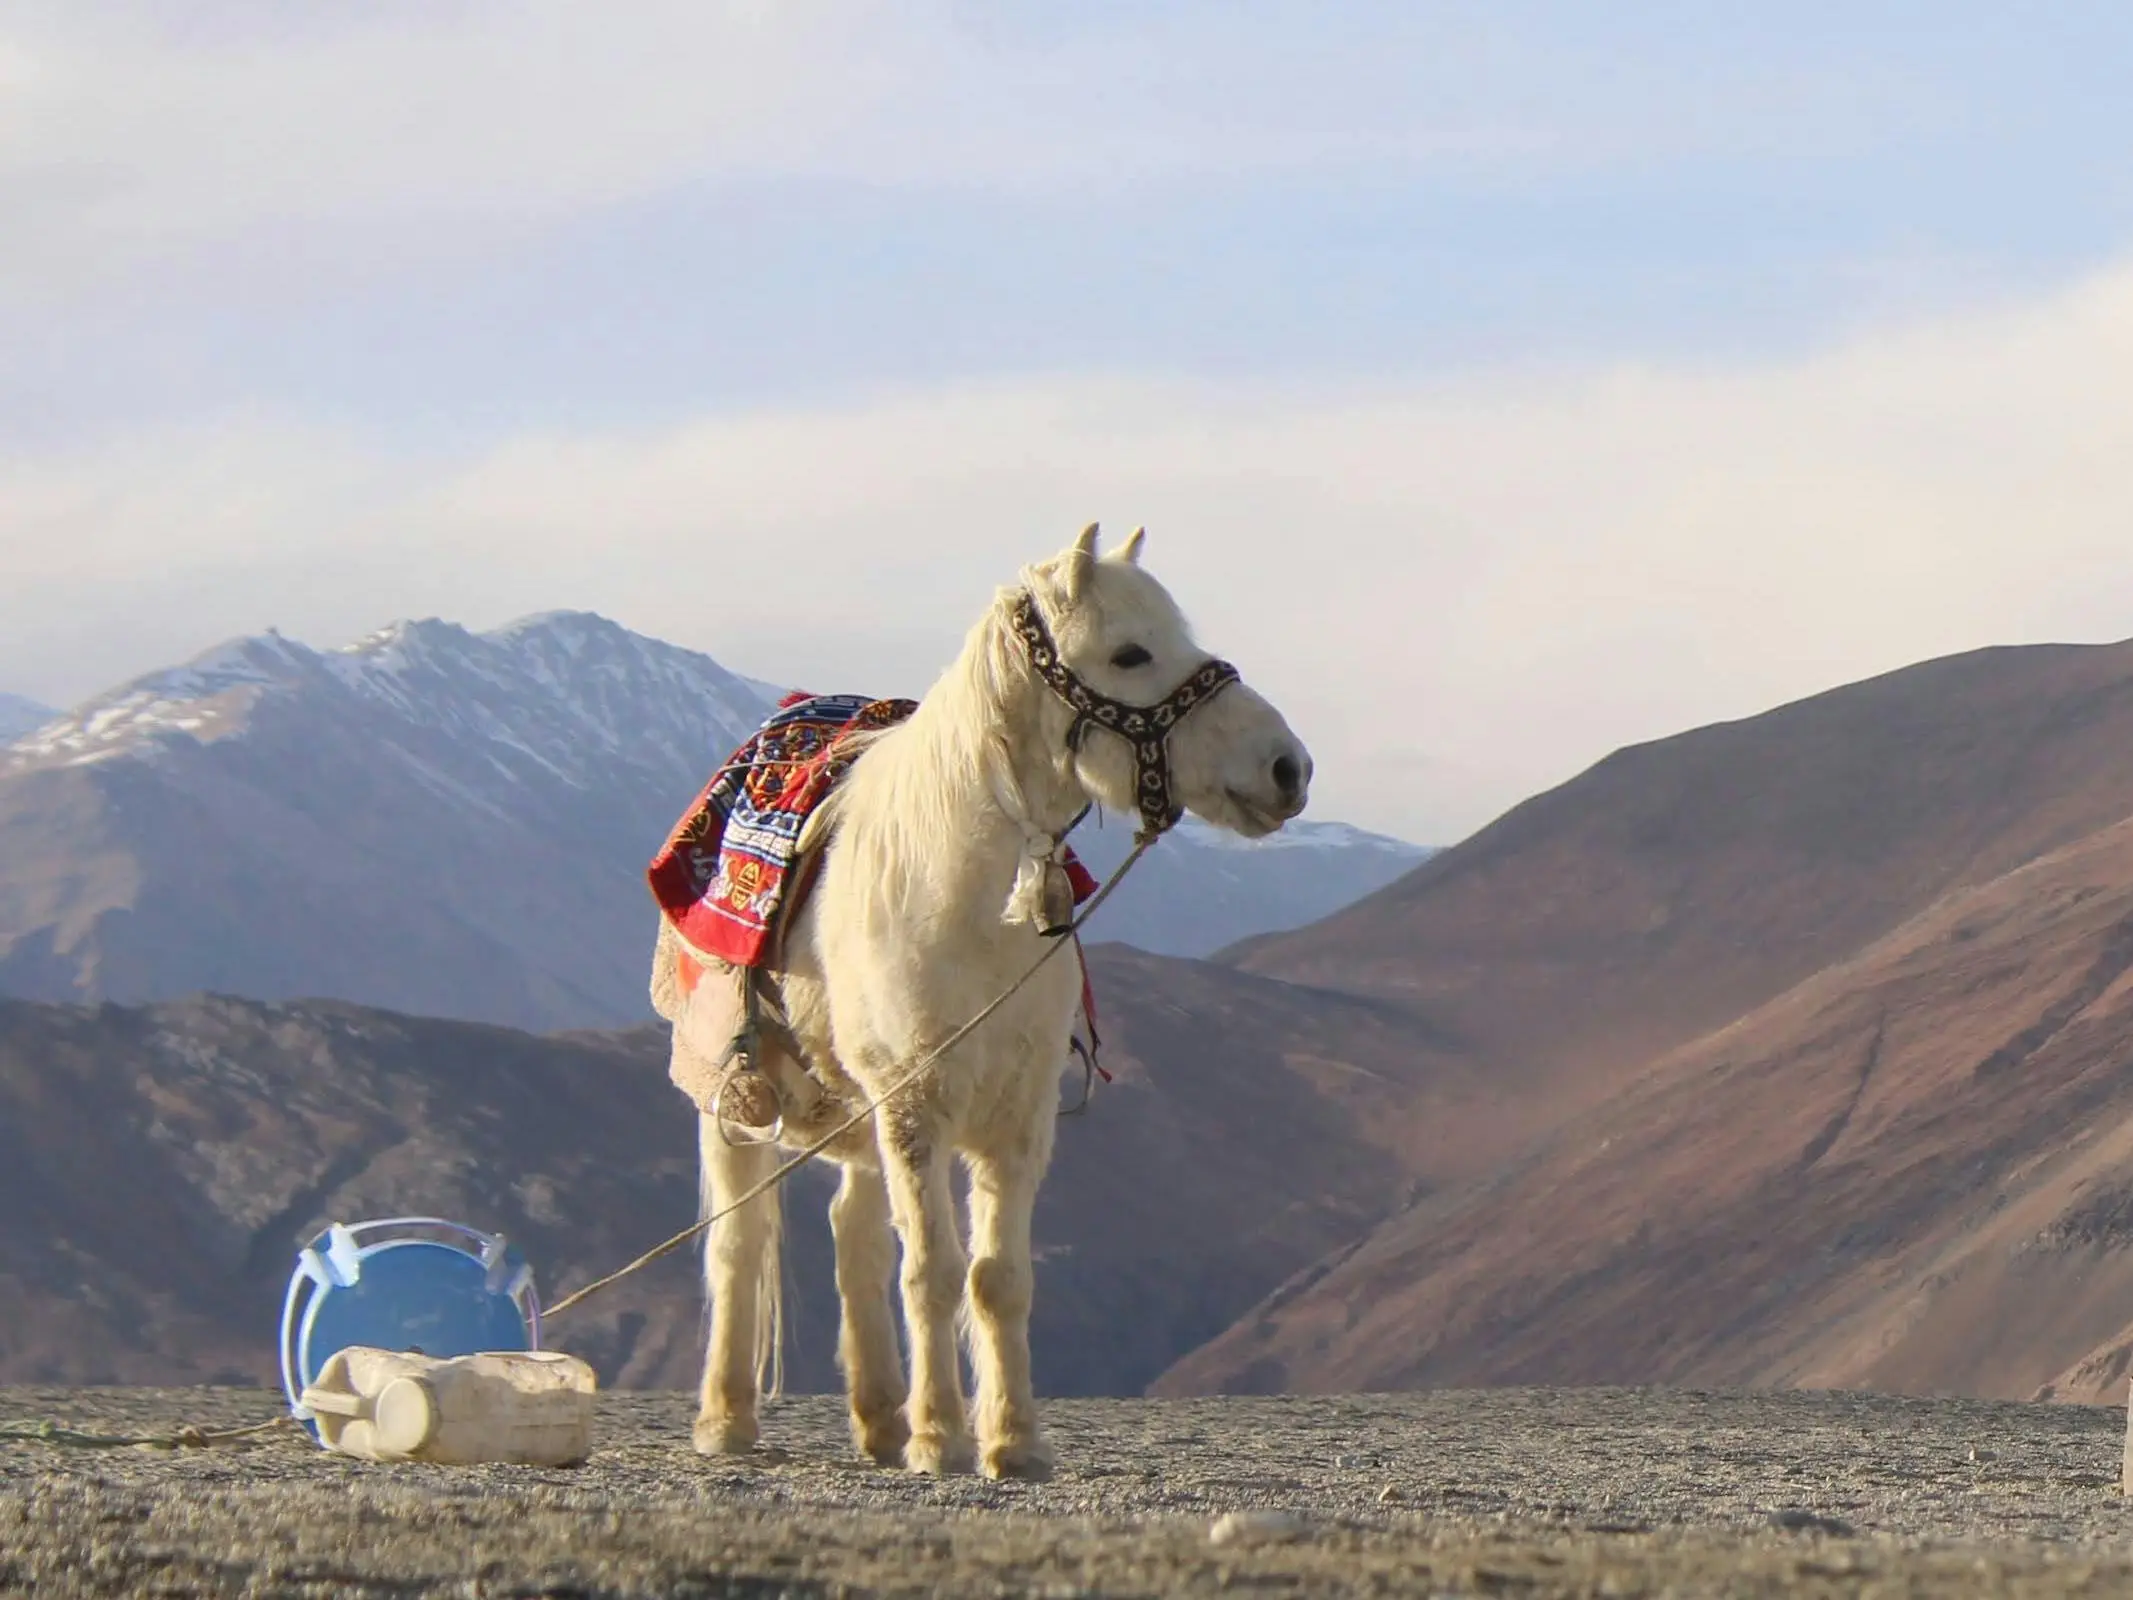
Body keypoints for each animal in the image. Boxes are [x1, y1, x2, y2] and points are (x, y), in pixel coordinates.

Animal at [650, 524, 1312, 1479]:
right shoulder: (914, 1104)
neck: (960, 891)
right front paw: (942, 1440)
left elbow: (996, 1278)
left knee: (854, 1230)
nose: (1286, 767)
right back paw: (729, 1422)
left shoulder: (1016, 1118)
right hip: (731, 1097)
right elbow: (930, 1269)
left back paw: (878, 1420)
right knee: (739, 1245)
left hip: (855, 1114)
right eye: (1130, 652)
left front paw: (1013, 1443)